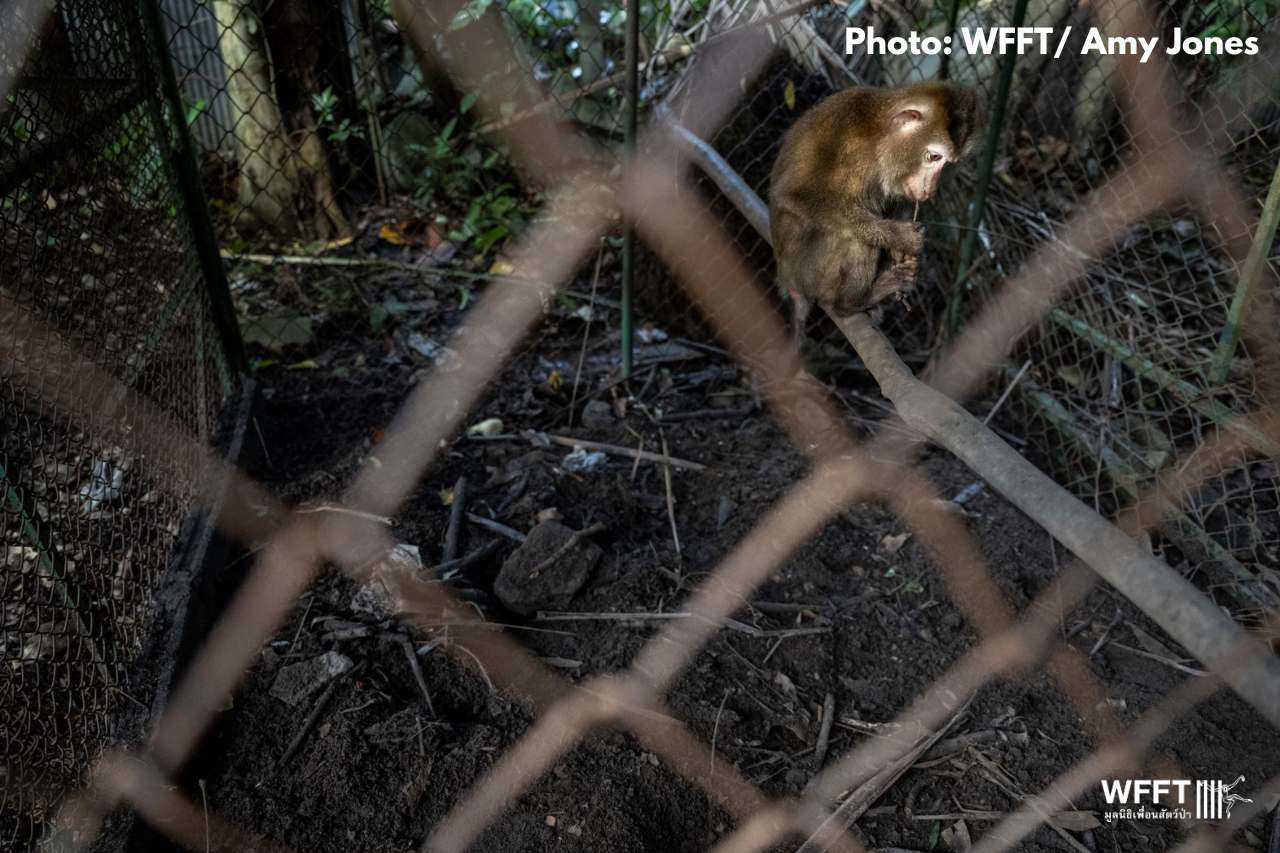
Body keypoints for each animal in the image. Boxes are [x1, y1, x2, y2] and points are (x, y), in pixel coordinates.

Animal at [768, 81, 979, 346]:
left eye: (948, 164)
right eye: (933, 157)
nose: (931, 189)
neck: (878, 138)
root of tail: (788, 280)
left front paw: (898, 250)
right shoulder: (850, 150)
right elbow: (793, 197)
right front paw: (898, 236)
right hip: (809, 272)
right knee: (854, 239)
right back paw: (852, 303)